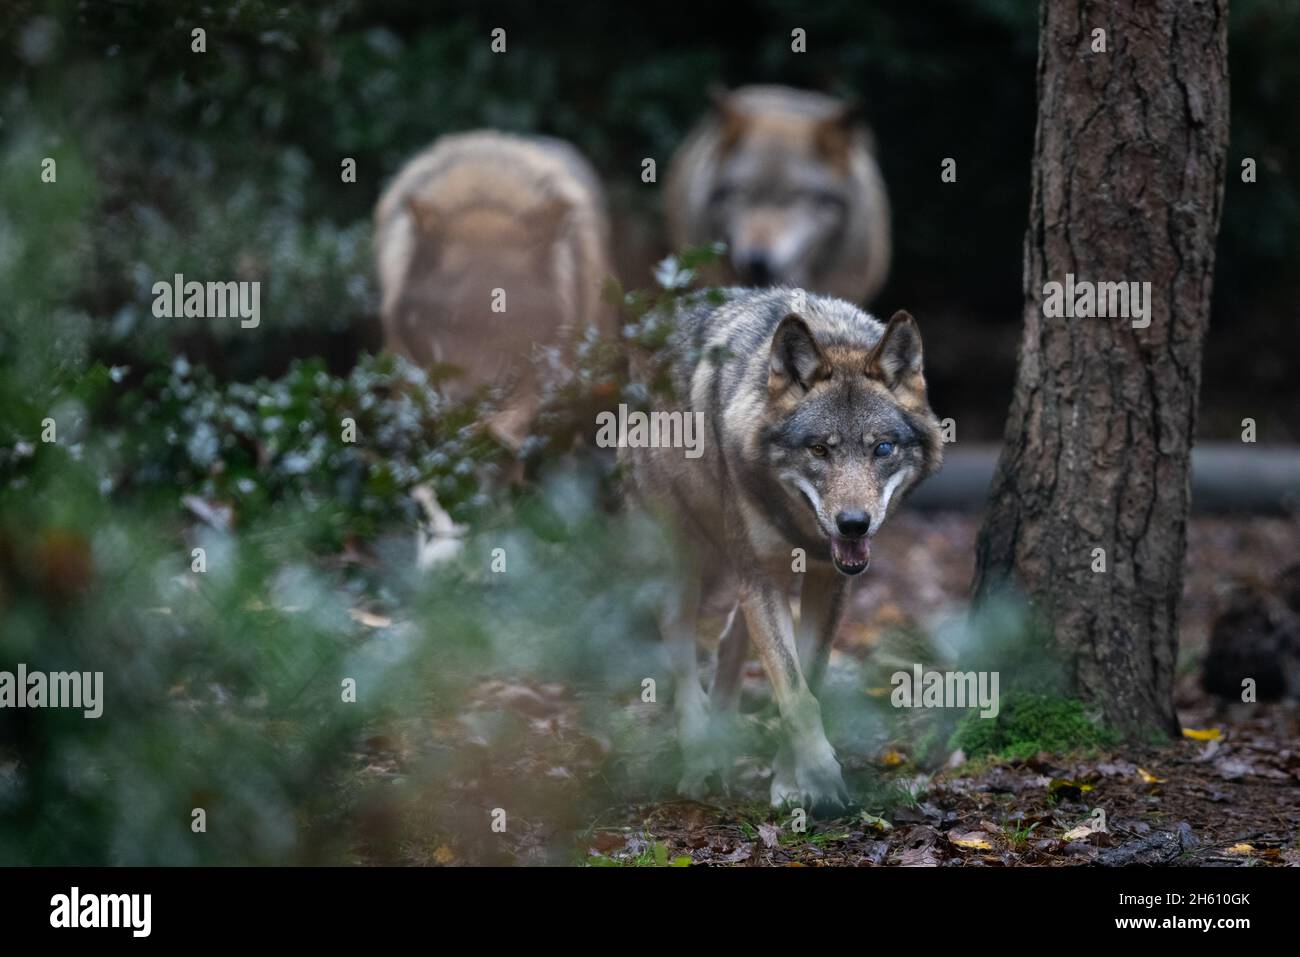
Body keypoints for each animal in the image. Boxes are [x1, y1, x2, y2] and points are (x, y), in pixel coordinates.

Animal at [623, 288, 942, 809]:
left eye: (882, 449)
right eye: (819, 450)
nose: (853, 524)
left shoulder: (828, 581)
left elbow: (806, 679)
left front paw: (791, 782)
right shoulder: (763, 575)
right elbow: (795, 694)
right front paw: (821, 780)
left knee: (730, 640)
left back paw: (720, 742)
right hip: (685, 565)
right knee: (682, 658)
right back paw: (699, 760)